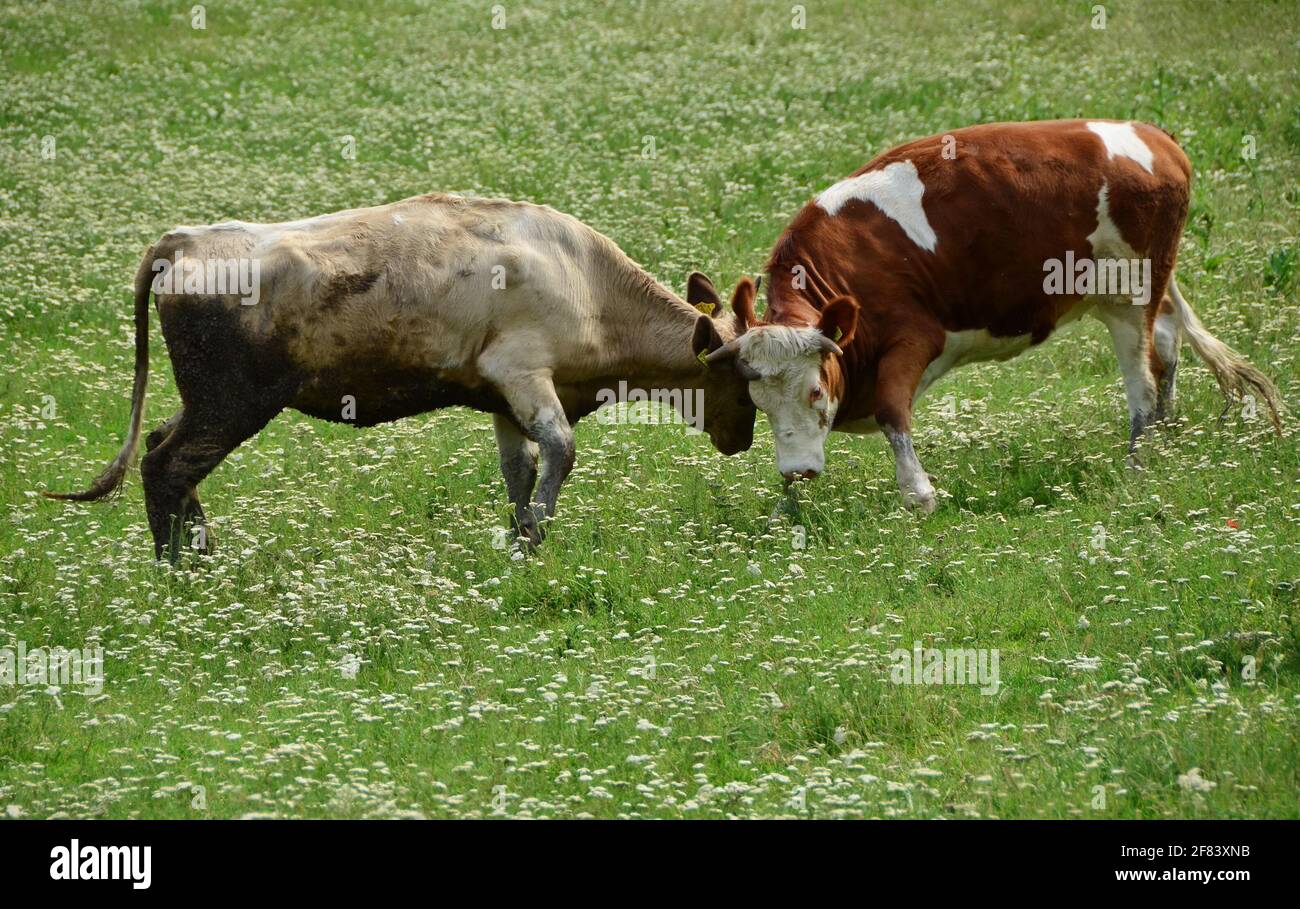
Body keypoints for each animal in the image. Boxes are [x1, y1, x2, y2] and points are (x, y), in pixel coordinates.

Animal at [44, 193, 756, 560]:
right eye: (744, 377)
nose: (744, 437)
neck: (583, 277)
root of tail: (185, 240)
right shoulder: (524, 372)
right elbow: (560, 450)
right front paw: (535, 539)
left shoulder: (503, 400)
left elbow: (519, 470)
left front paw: (516, 540)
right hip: (232, 402)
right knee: (165, 465)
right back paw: (184, 572)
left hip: (205, 400)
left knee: (164, 448)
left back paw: (203, 554)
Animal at [699, 119, 1282, 510]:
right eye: (758, 403)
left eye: (816, 391)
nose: (798, 471)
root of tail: (1153, 135)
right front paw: (787, 508)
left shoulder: (913, 341)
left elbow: (892, 415)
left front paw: (919, 495)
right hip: (1140, 292)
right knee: (1166, 345)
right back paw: (1168, 430)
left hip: (1130, 297)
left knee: (1142, 380)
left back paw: (1138, 461)